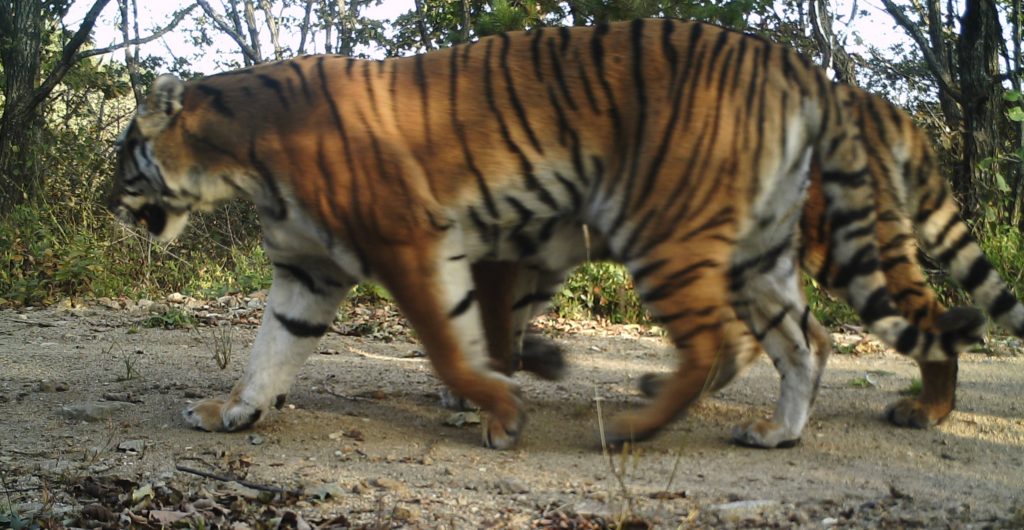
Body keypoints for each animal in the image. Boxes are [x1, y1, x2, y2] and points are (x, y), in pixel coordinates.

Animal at [465, 84, 1023, 448]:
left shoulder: (497, 260)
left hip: (837, 247)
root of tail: (878, 104)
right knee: (784, 337)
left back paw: (926, 411)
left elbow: (493, 328)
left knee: (928, 319)